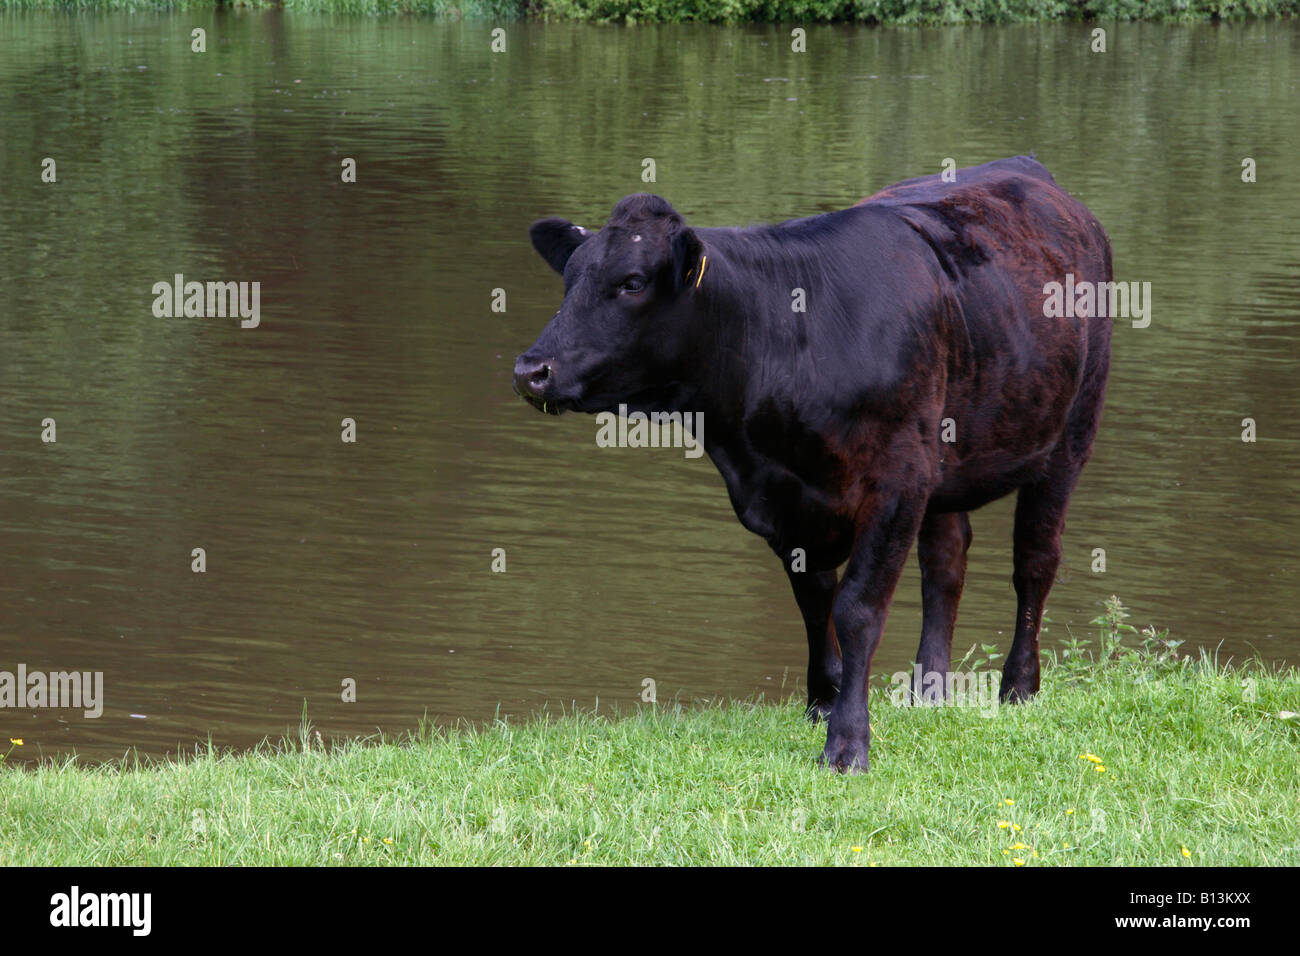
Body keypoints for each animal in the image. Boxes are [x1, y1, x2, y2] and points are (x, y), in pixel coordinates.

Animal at [514, 156, 1112, 772]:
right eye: (569, 279)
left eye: (631, 283)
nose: (531, 370)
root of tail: (1028, 170)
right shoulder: (785, 500)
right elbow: (813, 600)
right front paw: (821, 701)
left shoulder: (896, 484)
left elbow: (856, 610)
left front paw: (847, 742)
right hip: (948, 456)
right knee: (946, 562)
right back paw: (929, 691)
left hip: (1071, 430)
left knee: (1035, 560)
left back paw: (1019, 687)